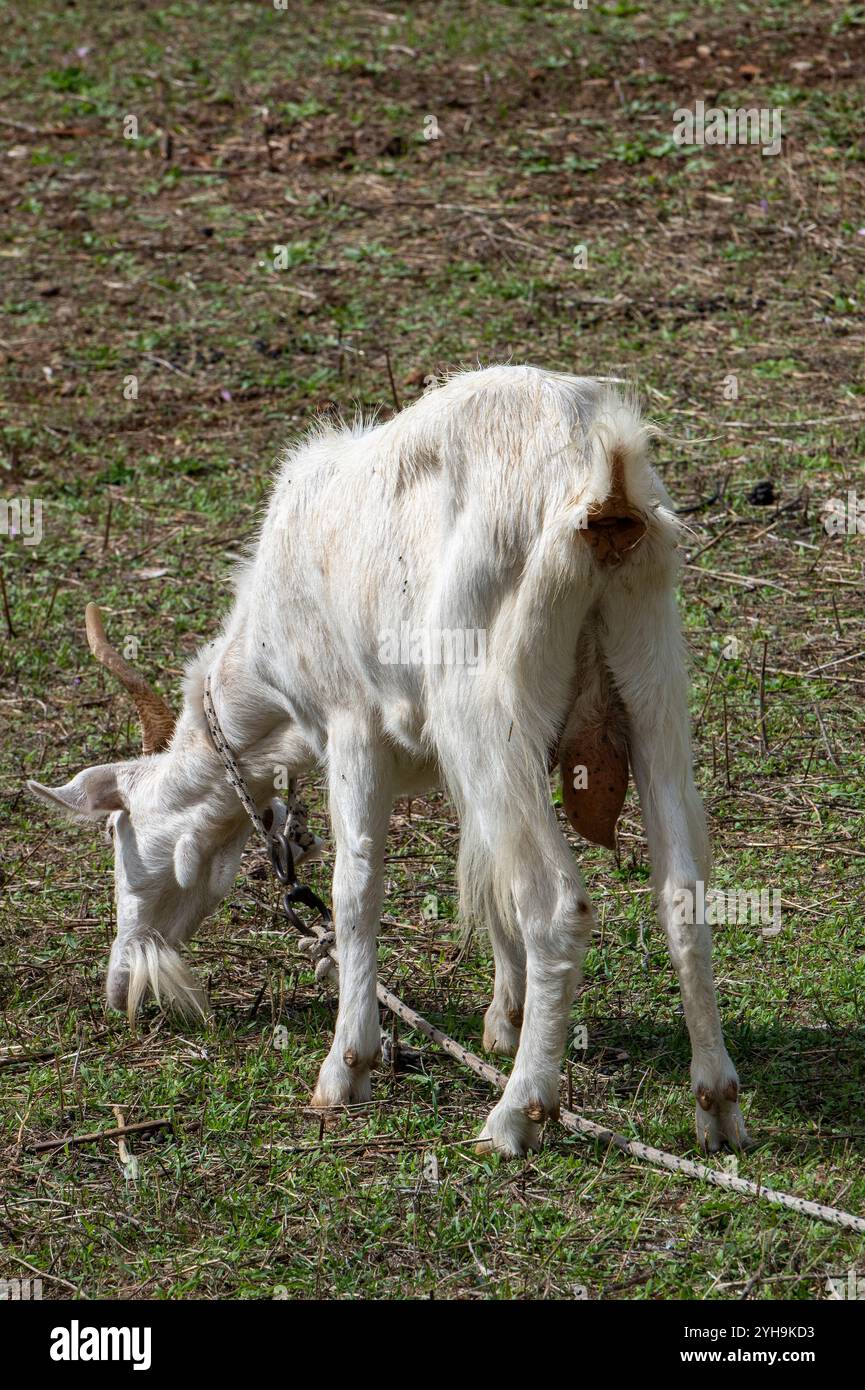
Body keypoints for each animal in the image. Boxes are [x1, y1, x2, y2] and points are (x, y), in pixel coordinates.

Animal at [28, 365, 748, 1156]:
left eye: (116, 835)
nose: (118, 988)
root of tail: (603, 480)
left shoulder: (352, 726)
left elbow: (356, 890)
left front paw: (348, 1067)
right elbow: (483, 869)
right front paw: (505, 1018)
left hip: (484, 696)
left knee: (557, 901)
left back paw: (516, 1113)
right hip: (651, 680)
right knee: (681, 888)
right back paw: (717, 1105)